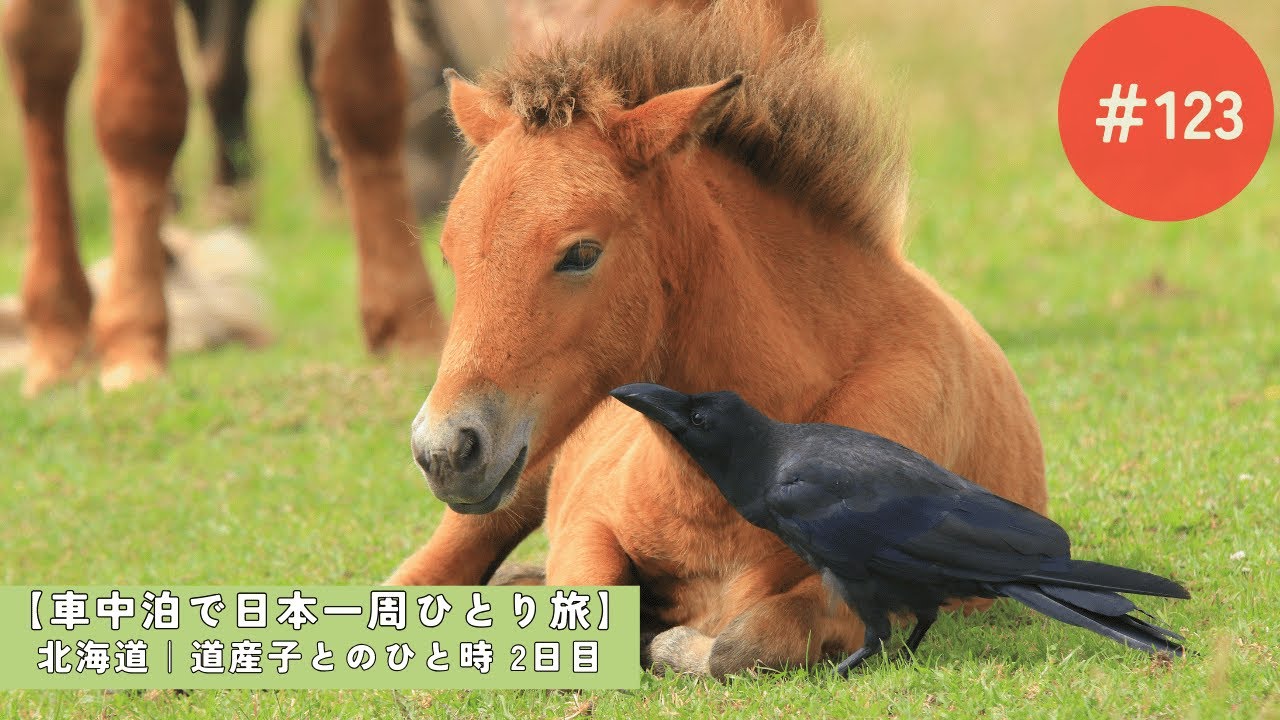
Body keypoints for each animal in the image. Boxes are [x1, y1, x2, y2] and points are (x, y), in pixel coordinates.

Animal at [395, 0, 1047, 677]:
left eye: (580, 253)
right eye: (449, 256)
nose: (445, 449)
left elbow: (746, 638)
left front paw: (672, 639)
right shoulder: (588, 520)